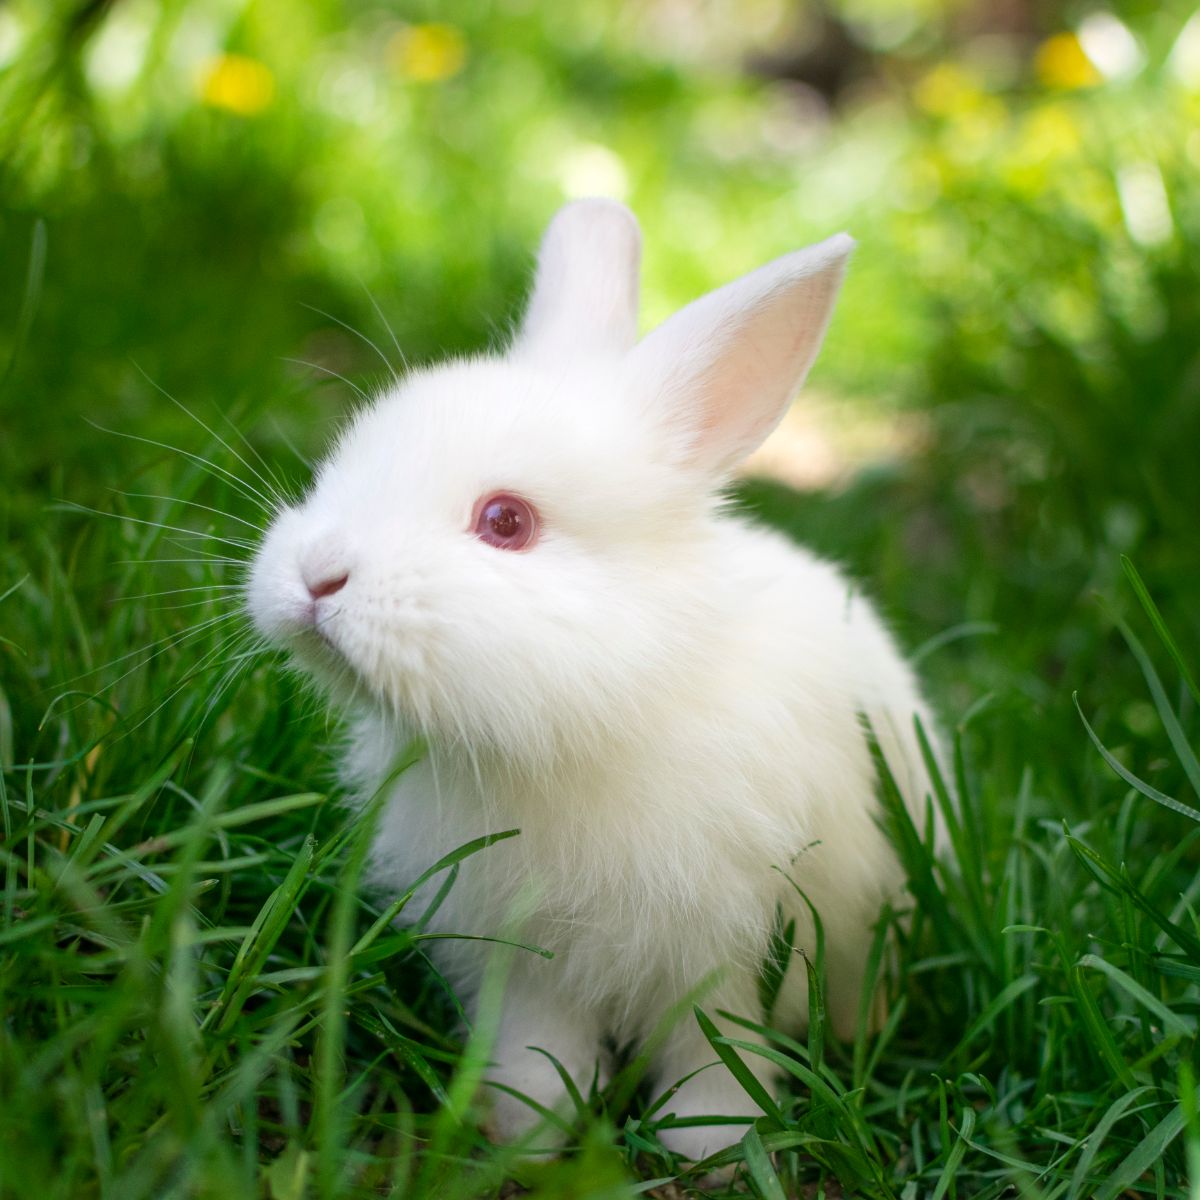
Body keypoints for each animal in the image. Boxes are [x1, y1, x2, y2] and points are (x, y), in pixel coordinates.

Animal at [247, 198, 942, 1163]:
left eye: (506, 521)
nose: (315, 580)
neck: (589, 722)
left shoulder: (724, 953)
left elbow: (716, 1050)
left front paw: (713, 1147)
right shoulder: (522, 954)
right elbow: (539, 1045)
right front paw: (524, 1129)